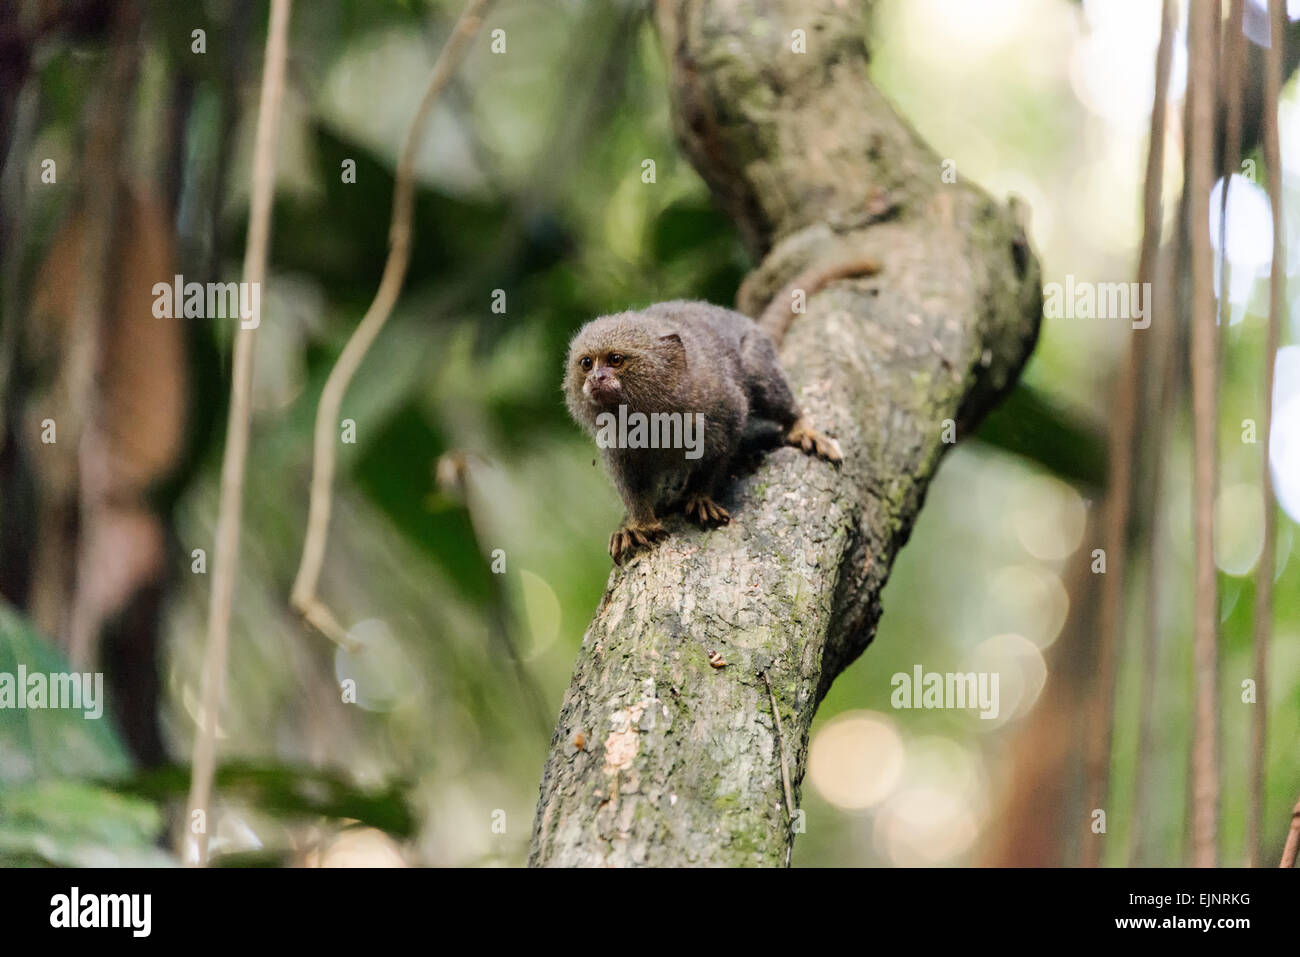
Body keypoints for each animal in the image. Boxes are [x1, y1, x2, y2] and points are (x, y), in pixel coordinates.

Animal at [564, 257, 880, 564]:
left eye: (615, 360)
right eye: (587, 363)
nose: (596, 378)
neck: (650, 416)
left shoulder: (717, 403)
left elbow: (722, 444)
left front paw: (700, 496)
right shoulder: (618, 442)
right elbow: (631, 483)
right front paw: (638, 524)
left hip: (756, 354)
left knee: (763, 380)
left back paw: (801, 427)